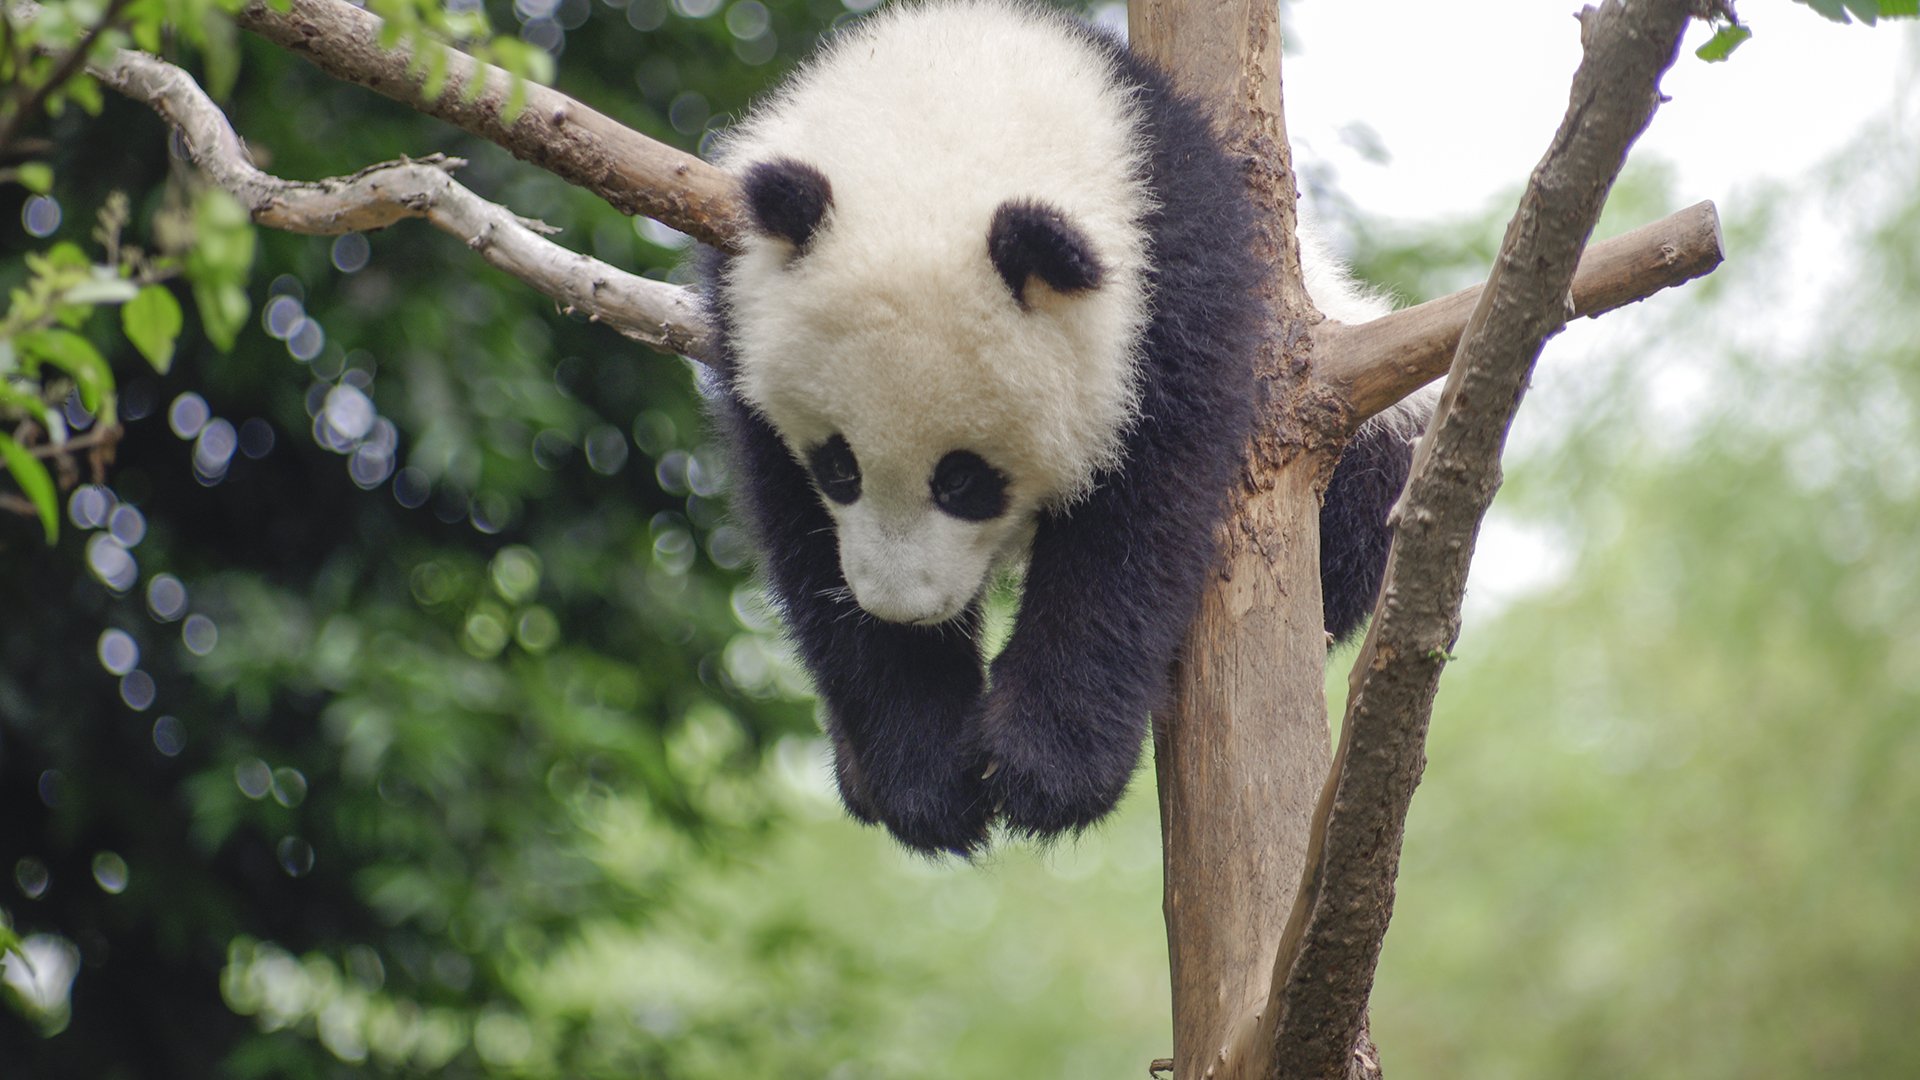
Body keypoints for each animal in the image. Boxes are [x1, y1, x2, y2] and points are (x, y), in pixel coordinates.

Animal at [699, 0, 1426, 855]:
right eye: (838, 466)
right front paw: (923, 774)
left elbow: (1136, 531)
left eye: (966, 481)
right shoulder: (741, 309)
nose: (901, 605)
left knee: (1364, 505)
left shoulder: (1172, 289)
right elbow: (802, 537)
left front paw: (1045, 772)